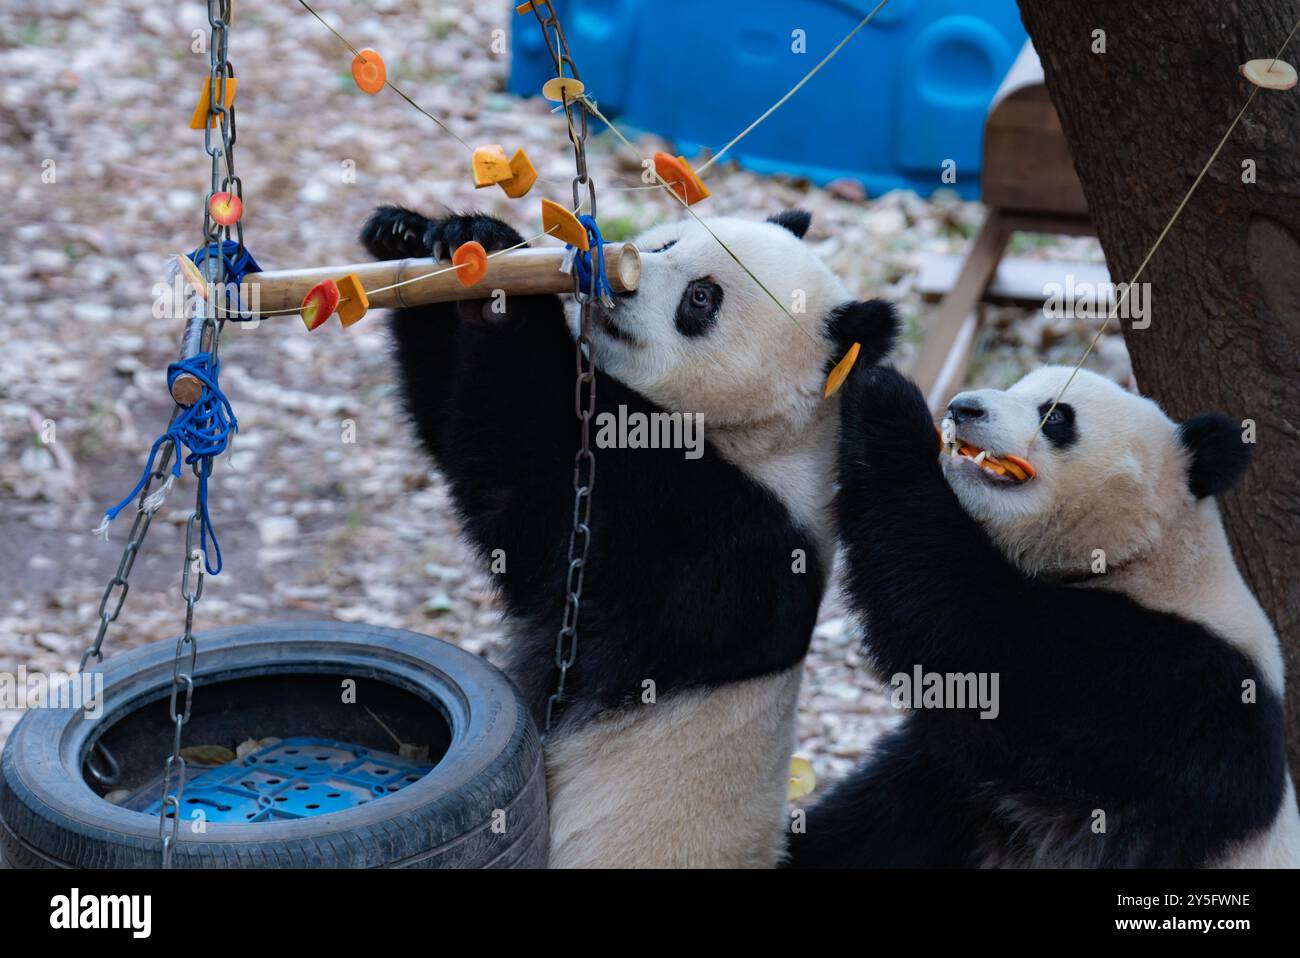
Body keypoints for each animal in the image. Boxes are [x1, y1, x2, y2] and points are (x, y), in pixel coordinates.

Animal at [360, 206, 898, 867]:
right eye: (666, 243)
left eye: (702, 298)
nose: (618, 283)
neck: (768, 437)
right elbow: (452, 429)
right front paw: (414, 234)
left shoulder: (715, 543)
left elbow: (518, 485)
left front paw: (495, 283)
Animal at [787, 363, 1300, 868]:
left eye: (1055, 416)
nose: (962, 407)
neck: (1150, 555)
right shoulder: (953, 783)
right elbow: (881, 819)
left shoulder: (1170, 686)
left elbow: (978, 637)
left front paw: (885, 400)